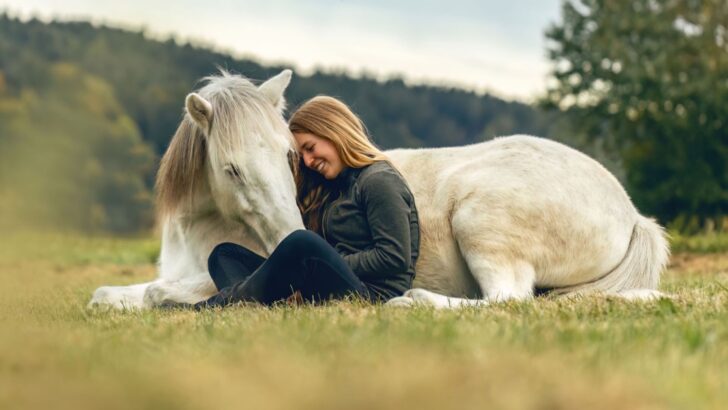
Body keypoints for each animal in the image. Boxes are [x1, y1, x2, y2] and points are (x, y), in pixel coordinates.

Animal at [89, 70, 669, 310]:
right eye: (231, 169)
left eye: (289, 154)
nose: (291, 236)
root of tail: (630, 214)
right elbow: (109, 295)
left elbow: (160, 293)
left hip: (482, 224)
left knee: (507, 300)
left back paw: (414, 303)